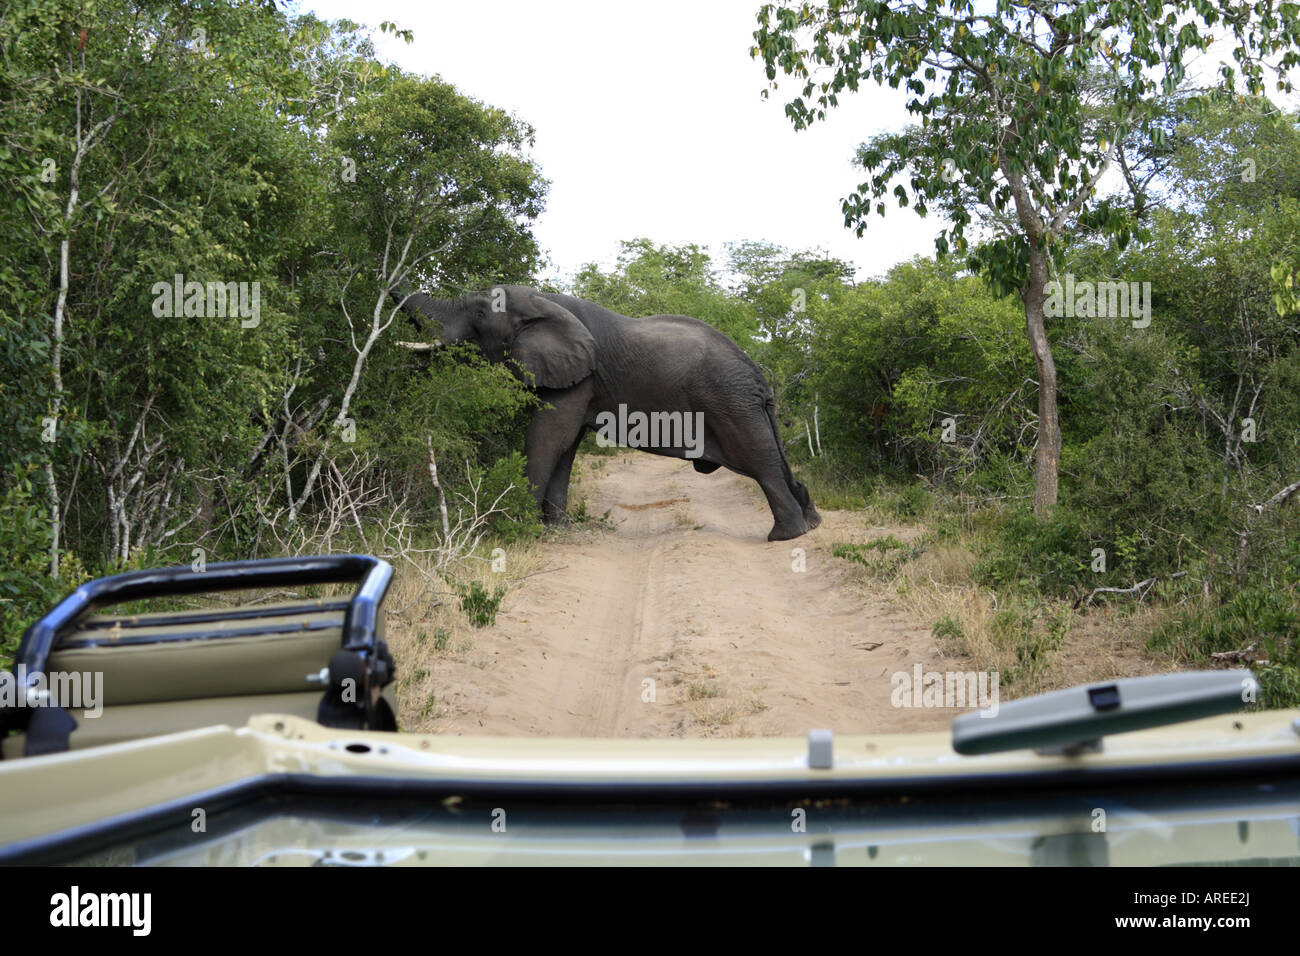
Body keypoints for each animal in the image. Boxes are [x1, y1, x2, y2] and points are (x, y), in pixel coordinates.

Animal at [391, 283, 821, 541]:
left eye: (480, 315)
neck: (544, 299)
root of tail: (759, 377)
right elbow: (565, 447)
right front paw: (556, 528)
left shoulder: (579, 376)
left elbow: (549, 436)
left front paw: (518, 528)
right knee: (774, 462)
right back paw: (811, 521)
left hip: (729, 402)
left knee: (761, 461)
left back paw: (787, 536)